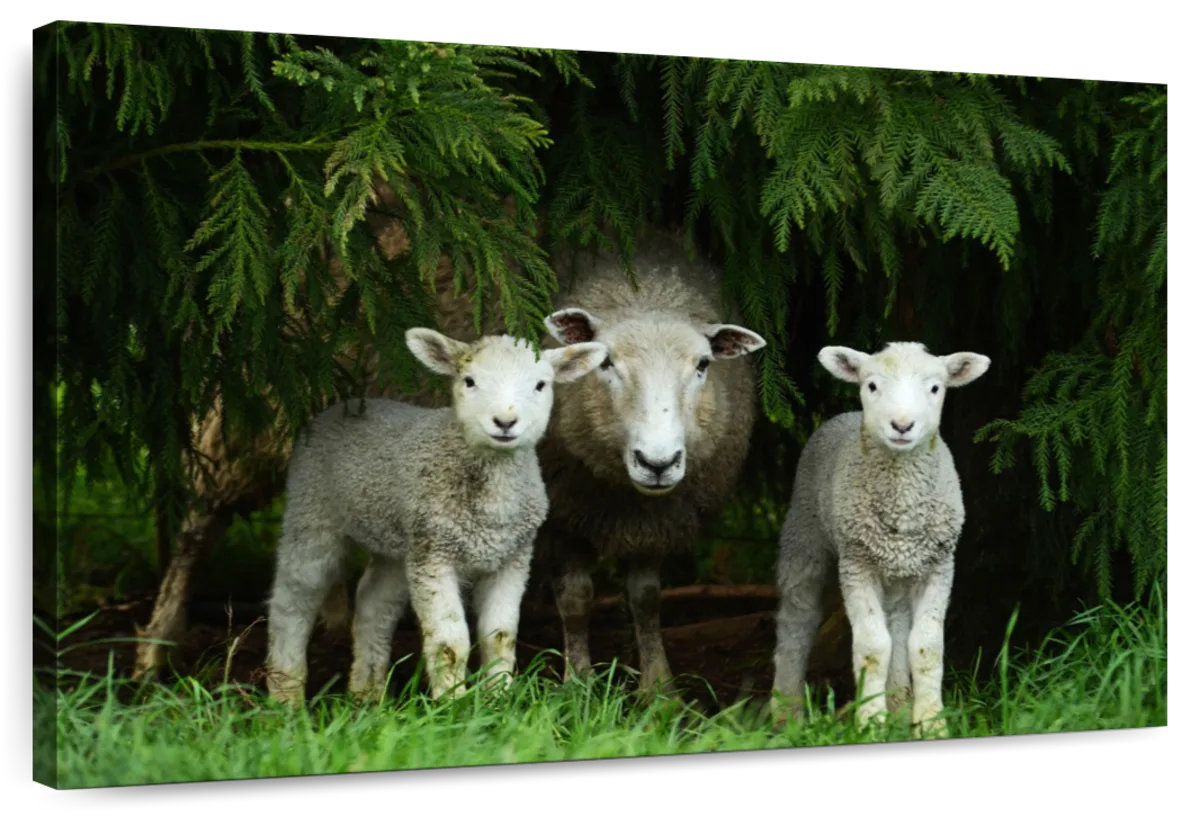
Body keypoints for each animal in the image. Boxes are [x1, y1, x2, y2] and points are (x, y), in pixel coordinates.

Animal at [265, 329, 607, 703]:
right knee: (293, 600)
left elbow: (500, 636)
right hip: (313, 510)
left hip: (399, 539)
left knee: (374, 602)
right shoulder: (435, 554)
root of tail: (342, 406)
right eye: (469, 381)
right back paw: (286, 694)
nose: (505, 422)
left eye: (541, 384)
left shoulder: (512, 557)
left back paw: (366, 694)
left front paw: (499, 700)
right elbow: (450, 643)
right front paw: (453, 704)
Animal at [540, 233, 767, 690]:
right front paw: (577, 684)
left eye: (703, 363)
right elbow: (574, 599)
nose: (657, 462)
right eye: (605, 361)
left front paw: (659, 688)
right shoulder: (562, 511)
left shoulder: (656, 521)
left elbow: (645, 599)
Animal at [771, 342, 989, 735]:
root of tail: (845, 414)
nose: (902, 425)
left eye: (935, 388)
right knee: (797, 619)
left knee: (898, 625)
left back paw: (899, 706)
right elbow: (873, 646)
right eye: (872, 385)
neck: (901, 496)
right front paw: (870, 721)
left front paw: (931, 723)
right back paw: (788, 713)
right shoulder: (857, 562)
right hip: (804, 532)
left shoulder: (939, 564)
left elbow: (926, 646)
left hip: (897, 569)